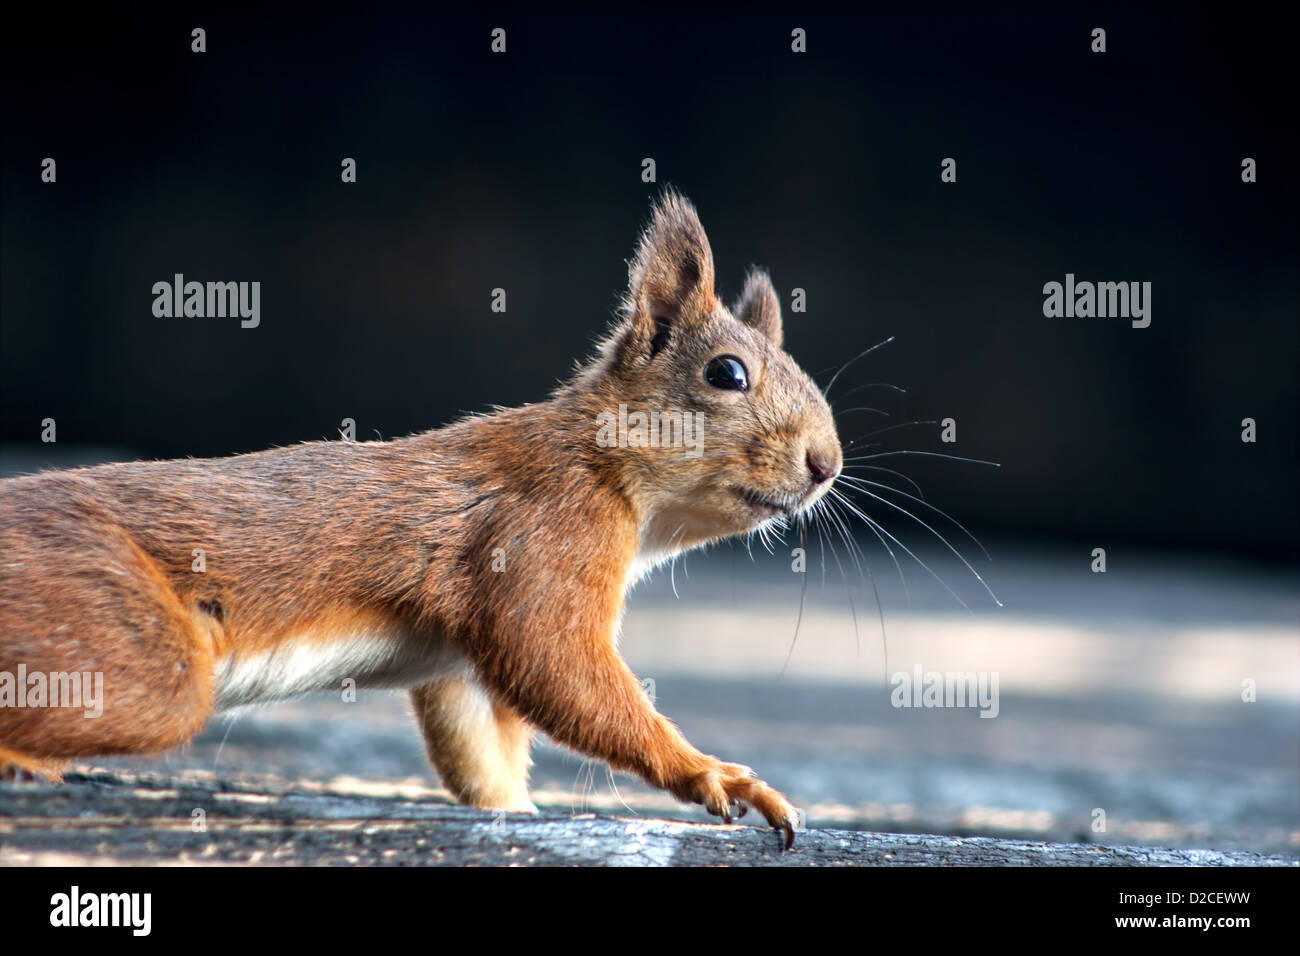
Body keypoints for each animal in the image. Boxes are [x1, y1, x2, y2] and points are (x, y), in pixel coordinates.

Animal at [0, 191, 842, 846]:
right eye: (726, 374)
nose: (826, 464)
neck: (600, 467)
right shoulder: (539, 538)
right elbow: (562, 669)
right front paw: (716, 776)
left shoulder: (458, 664)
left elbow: (478, 745)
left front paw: (519, 807)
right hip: (125, 643)